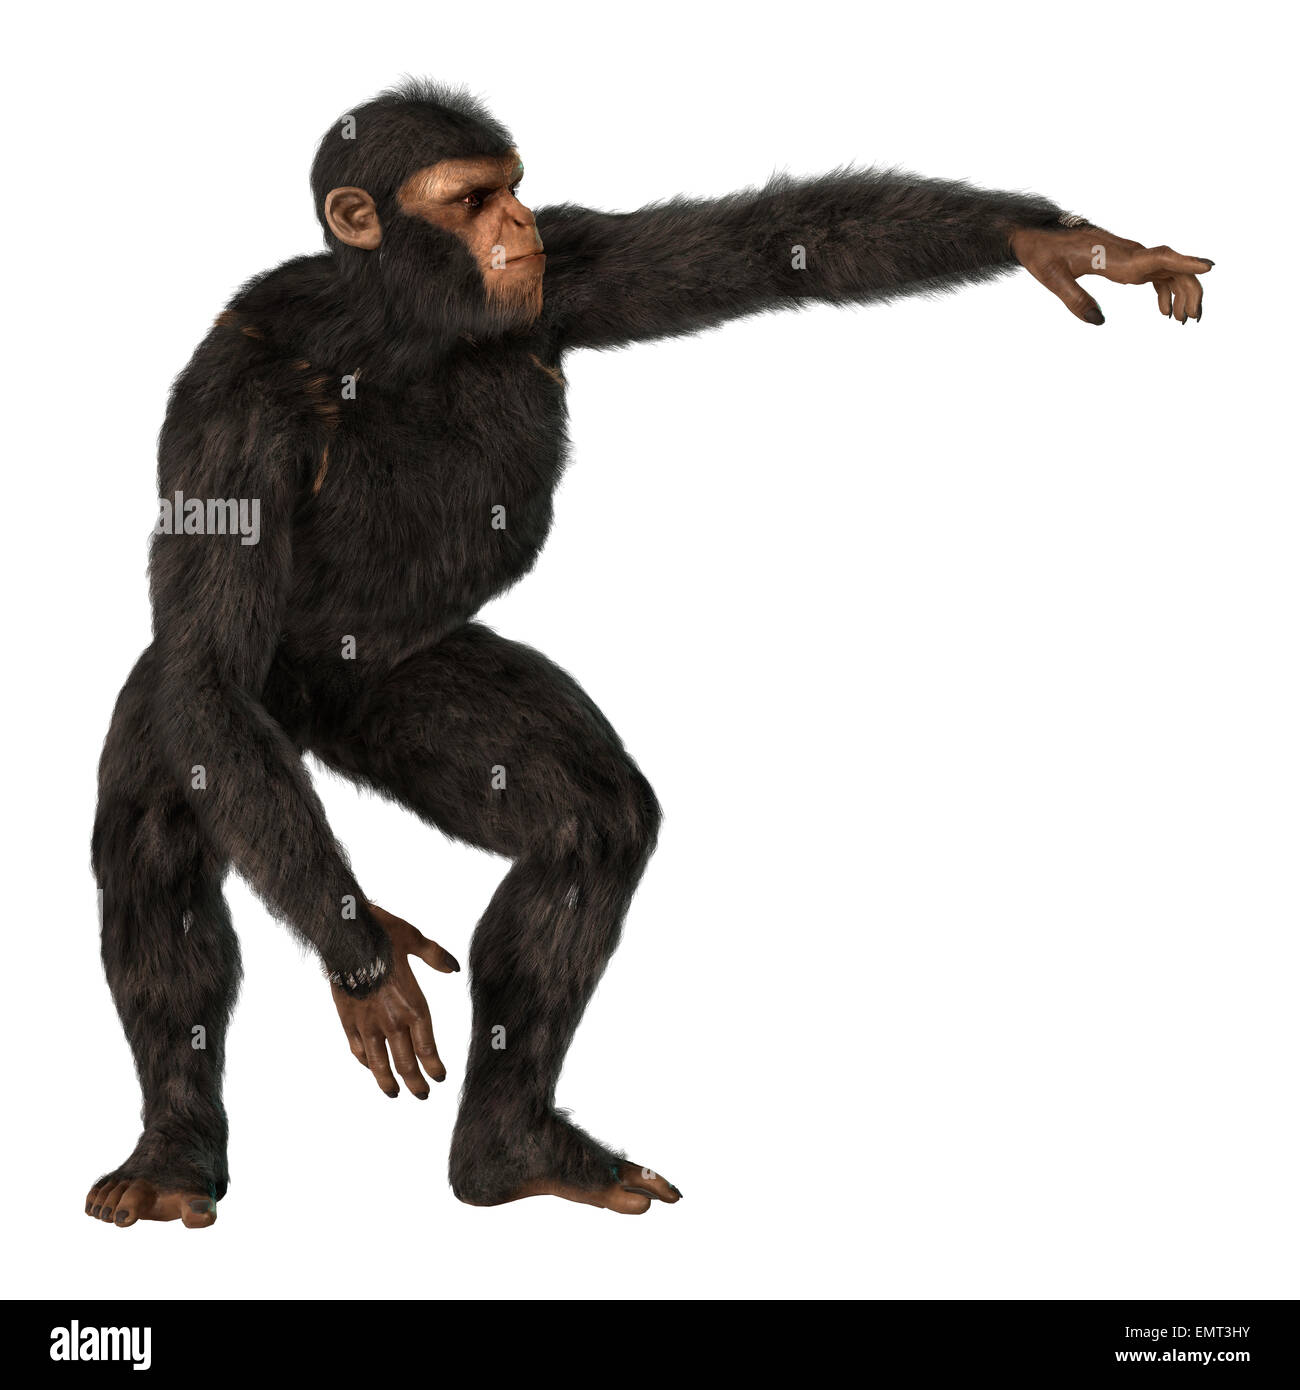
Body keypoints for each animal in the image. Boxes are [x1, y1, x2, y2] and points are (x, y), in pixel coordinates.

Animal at [85, 80, 1213, 1227]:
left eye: (514, 190)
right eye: (467, 199)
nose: (514, 223)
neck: (396, 329)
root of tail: (310, 715)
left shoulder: (575, 266)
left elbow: (778, 244)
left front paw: (1061, 242)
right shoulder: (231, 408)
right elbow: (208, 663)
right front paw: (366, 957)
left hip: (402, 682)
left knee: (590, 819)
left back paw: (510, 1150)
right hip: (226, 708)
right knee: (168, 800)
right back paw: (175, 1153)